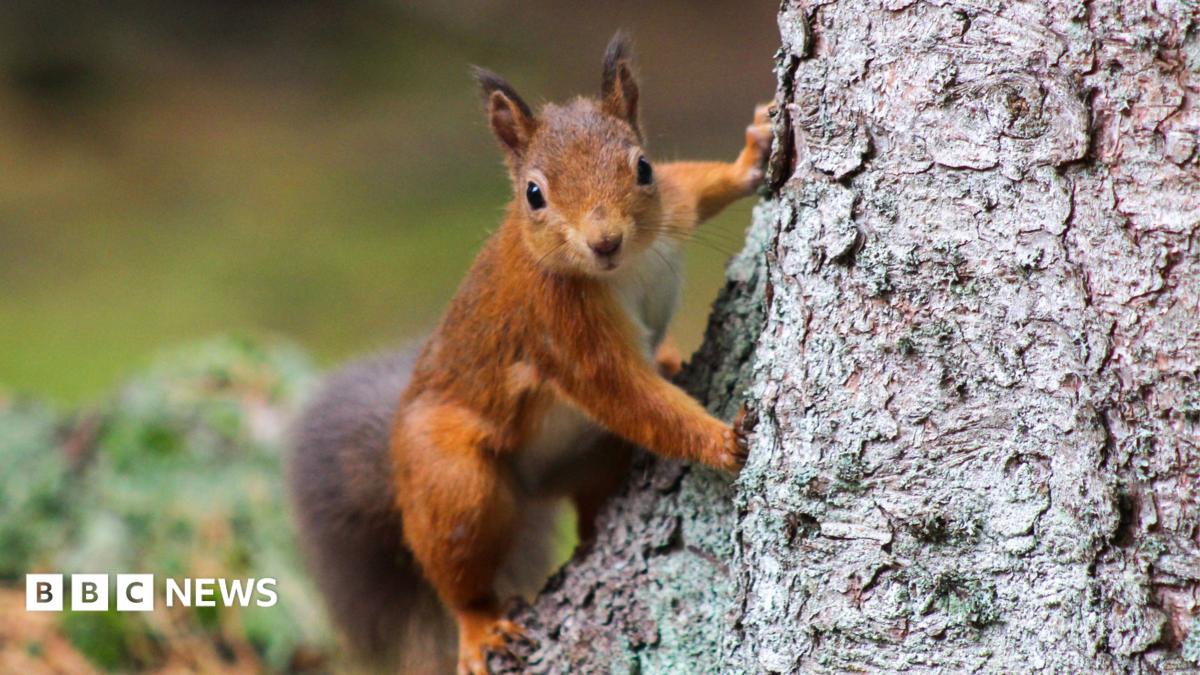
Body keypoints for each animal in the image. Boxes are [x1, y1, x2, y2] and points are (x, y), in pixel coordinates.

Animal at [288, 32, 771, 675]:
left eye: (641, 167)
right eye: (533, 195)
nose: (604, 241)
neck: (624, 268)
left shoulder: (672, 203)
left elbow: (695, 181)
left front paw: (754, 155)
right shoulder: (561, 329)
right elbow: (628, 395)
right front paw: (722, 440)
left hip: (594, 459)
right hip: (453, 481)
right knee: (458, 568)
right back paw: (479, 628)